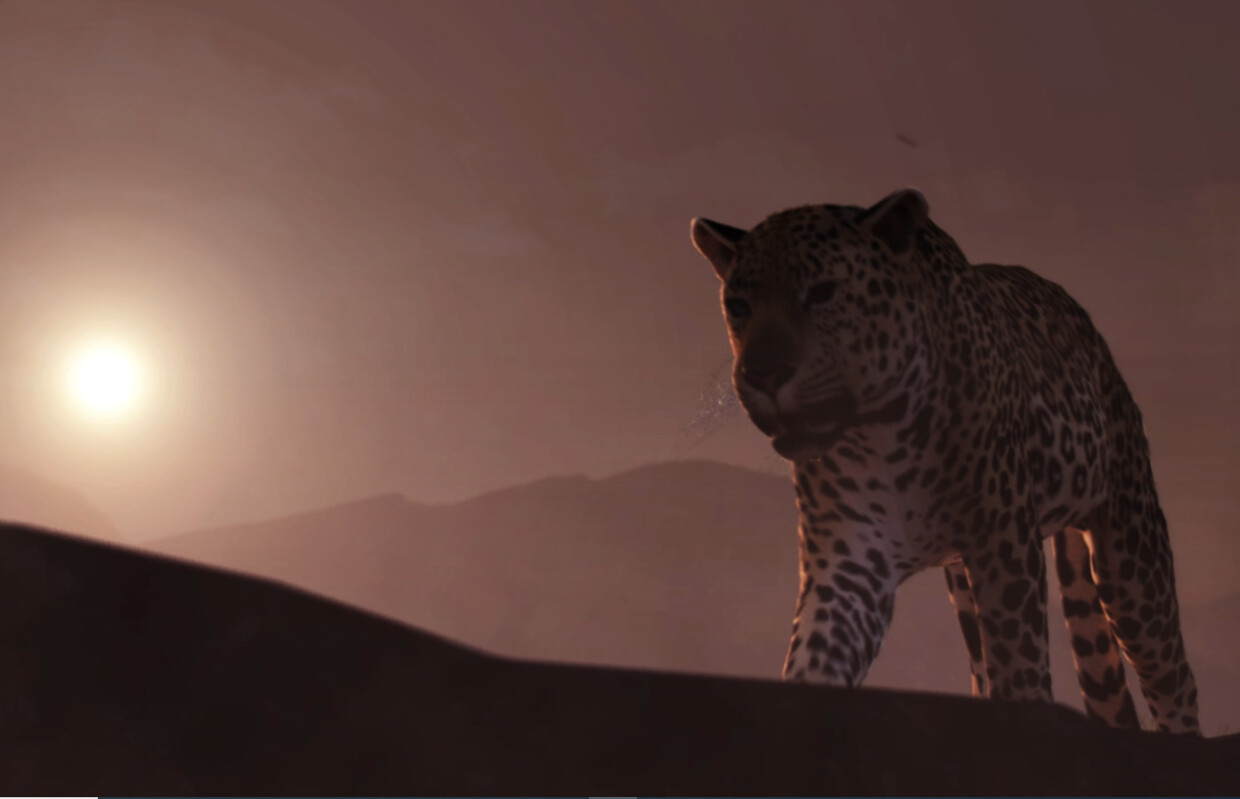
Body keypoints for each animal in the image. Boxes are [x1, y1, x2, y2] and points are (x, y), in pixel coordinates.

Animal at [689, 188, 1200, 734]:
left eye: (823, 293)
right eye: (738, 306)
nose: (763, 374)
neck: (883, 432)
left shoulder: (1005, 550)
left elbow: (1019, 665)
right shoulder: (849, 566)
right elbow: (816, 659)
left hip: (1131, 562)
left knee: (1172, 678)